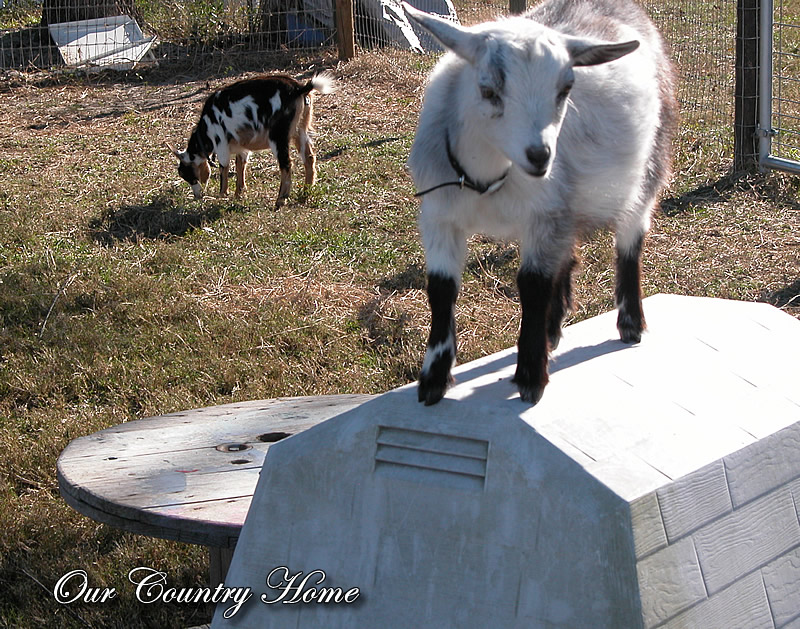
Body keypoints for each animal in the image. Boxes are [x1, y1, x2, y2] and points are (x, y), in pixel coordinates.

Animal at [168, 73, 335, 209]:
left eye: (185, 173)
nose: (197, 196)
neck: (205, 128)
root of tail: (298, 88)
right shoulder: (241, 145)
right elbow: (240, 164)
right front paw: (239, 193)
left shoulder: (221, 143)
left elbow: (224, 168)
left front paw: (222, 195)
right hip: (300, 130)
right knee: (309, 158)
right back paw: (306, 193)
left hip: (278, 135)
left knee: (286, 164)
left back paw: (280, 200)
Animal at [404, 0, 677, 405]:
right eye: (488, 90)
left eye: (567, 88)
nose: (539, 156)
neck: (488, 177)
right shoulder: (440, 215)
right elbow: (441, 288)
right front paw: (434, 378)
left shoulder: (545, 215)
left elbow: (532, 287)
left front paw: (531, 375)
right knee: (566, 258)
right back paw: (553, 328)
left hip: (648, 169)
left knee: (629, 246)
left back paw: (629, 323)